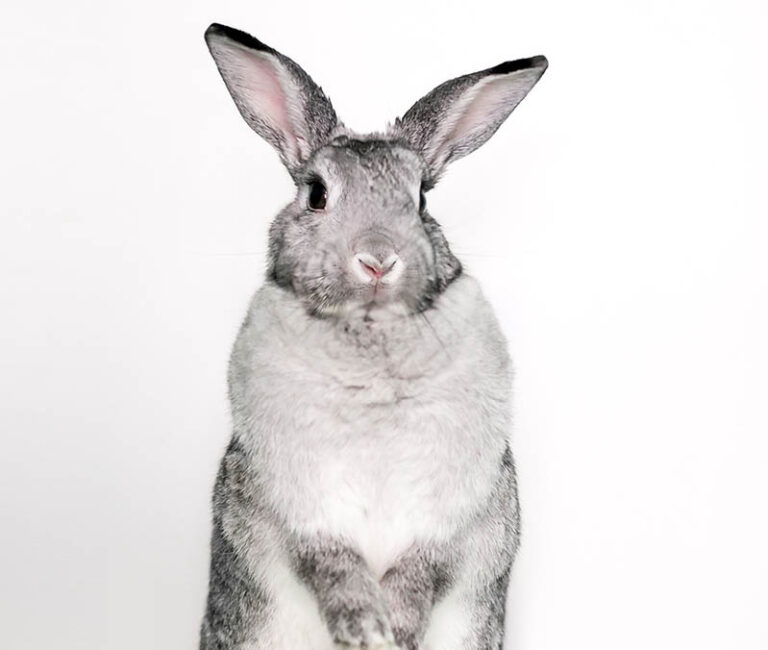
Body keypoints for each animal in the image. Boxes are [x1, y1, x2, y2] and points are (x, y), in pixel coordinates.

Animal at [200, 22, 547, 650]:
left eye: (422, 197)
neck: (371, 334)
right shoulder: (303, 503)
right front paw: (365, 631)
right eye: (316, 193)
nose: (378, 259)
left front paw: (397, 633)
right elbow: (333, 565)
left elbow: (419, 574)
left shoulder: (447, 513)